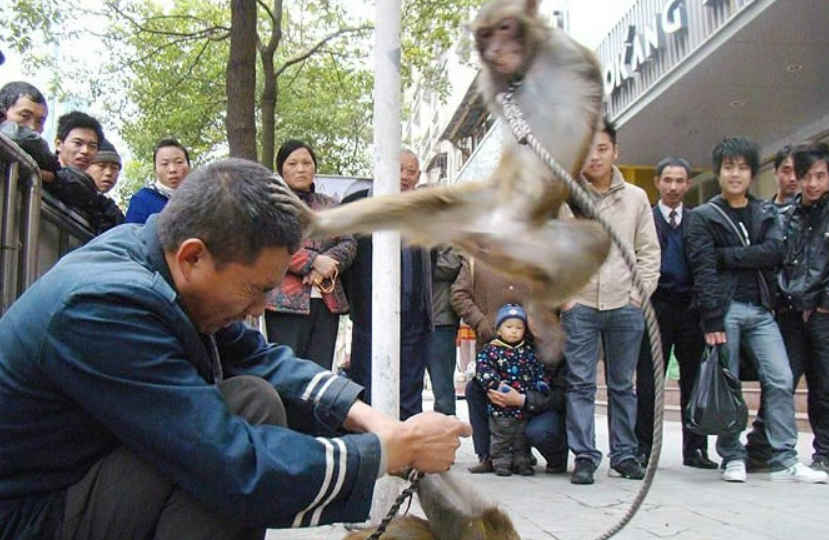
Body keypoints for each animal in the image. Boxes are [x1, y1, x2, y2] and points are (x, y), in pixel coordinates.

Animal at [300, 0, 604, 368]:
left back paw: (540, 309)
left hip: (532, 247)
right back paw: (321, 221)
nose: (496, 50)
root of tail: (498, 233)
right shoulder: (494, 82)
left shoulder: (570, 53)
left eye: (504, 28)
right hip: (474, 217)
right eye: (485, 35)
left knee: (594, 241)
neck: (530, 62)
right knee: (429, 205)